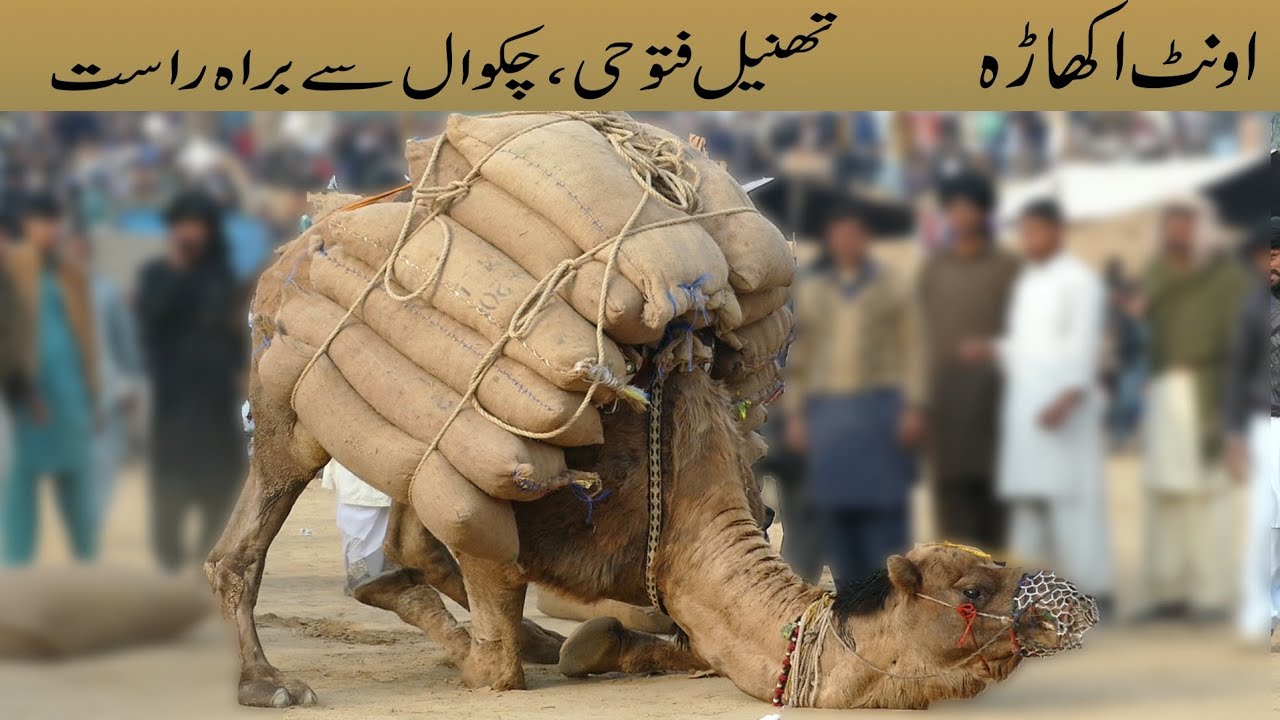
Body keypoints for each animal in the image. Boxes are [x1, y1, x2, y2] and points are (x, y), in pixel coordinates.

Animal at [205, 227, 1098, 711]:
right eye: (975, 586)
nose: (1071, 606)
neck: (688, 520)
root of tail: (300, 244)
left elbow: (656, 638)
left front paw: (578, 640)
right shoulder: (516, 513)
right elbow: (494, 657)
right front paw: (506, 644)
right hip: (296, 400)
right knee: (245, 547)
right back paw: (270, 682)